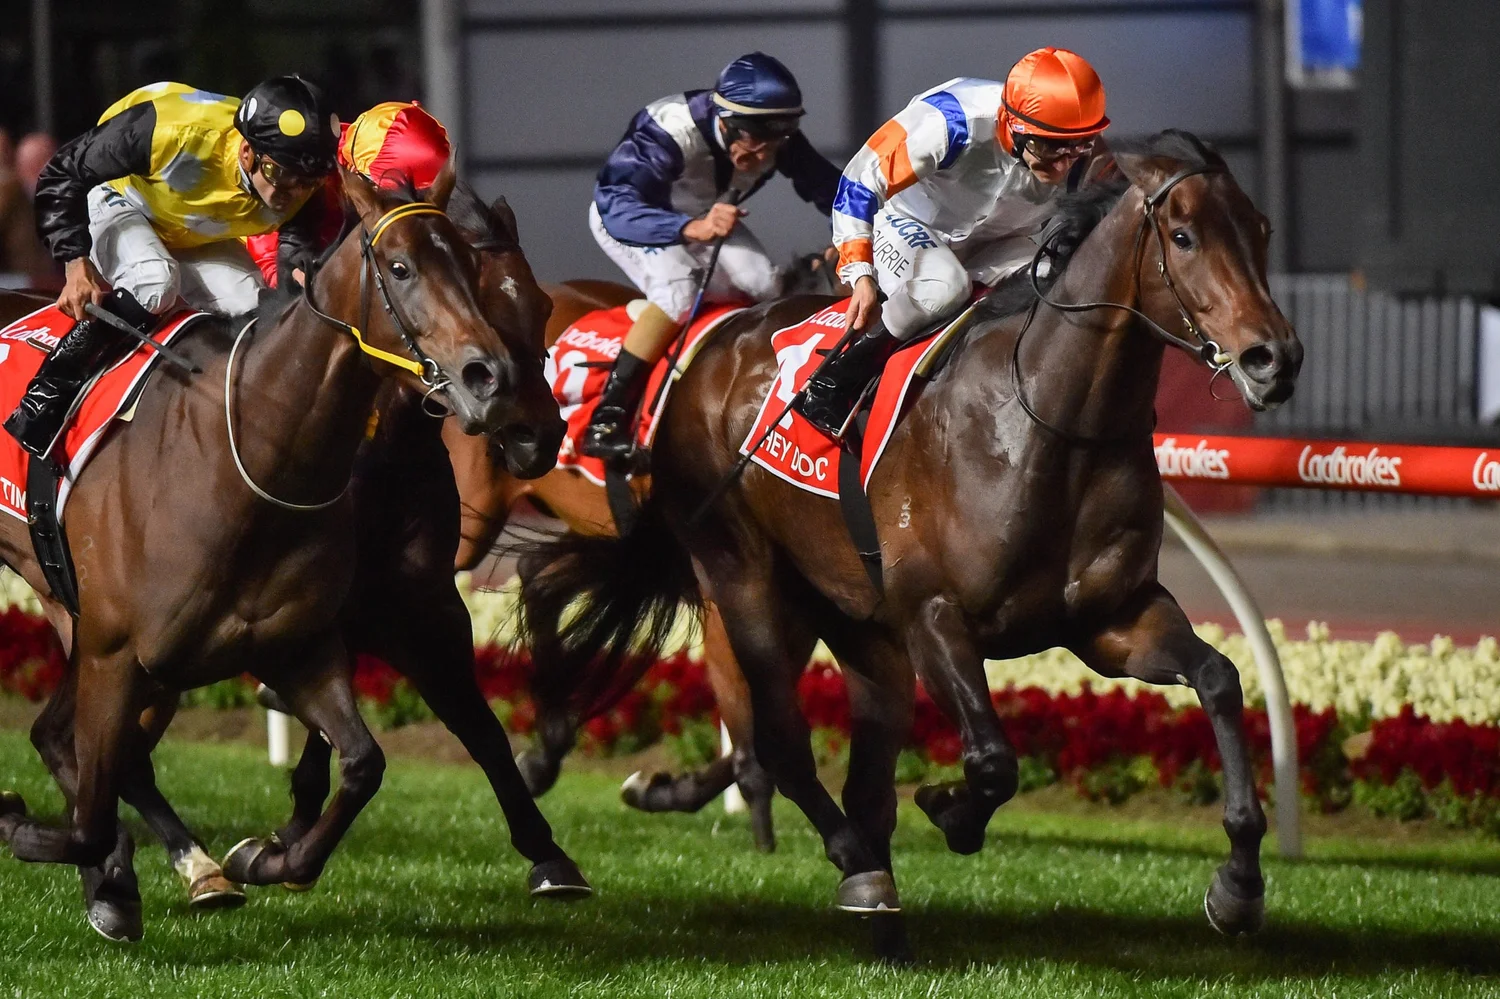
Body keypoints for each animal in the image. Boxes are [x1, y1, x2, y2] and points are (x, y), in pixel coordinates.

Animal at [0, 169, 585, 941]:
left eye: (539, 302)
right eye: (401, 268)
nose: (525, 423)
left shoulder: (350, 626)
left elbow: (401, 749)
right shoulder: (122, 648)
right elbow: (94, 808)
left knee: (60, 737)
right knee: (84, 748)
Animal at [514, 131, 1303, 960]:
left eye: (1261, 230)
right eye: (1183, 236)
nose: (1273, 359)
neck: (1047, 420)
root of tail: (716, 343)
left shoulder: (1112, 619)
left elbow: (1218, 678)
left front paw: (1239, 885)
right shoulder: (933, 617)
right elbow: (991, 761)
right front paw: (950, 807)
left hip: (857, 624)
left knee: (852, 774)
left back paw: (881, 915)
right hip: (742, 575)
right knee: (781, 741)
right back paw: (859, 871)